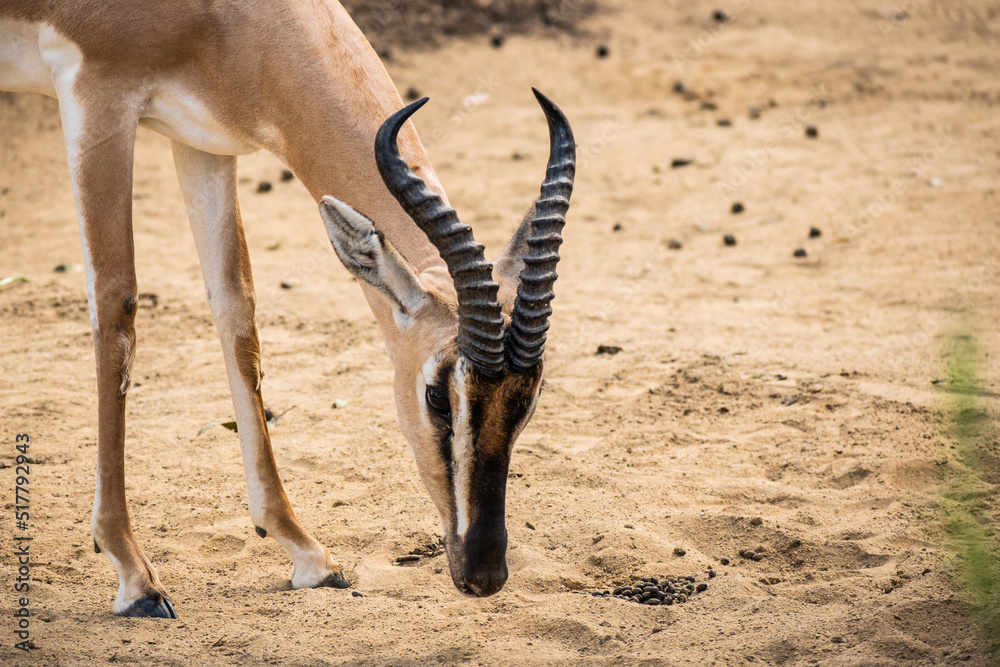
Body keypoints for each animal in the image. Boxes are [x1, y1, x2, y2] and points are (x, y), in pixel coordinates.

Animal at [1, 1, 575, 617]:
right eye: (438, 397)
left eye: (530, 399)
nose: (485, 572)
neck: (223, 20)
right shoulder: (95, 93)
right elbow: (117, 304)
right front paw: (136, 581)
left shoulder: (204, 141)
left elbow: (237, 311)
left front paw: (309, 556)